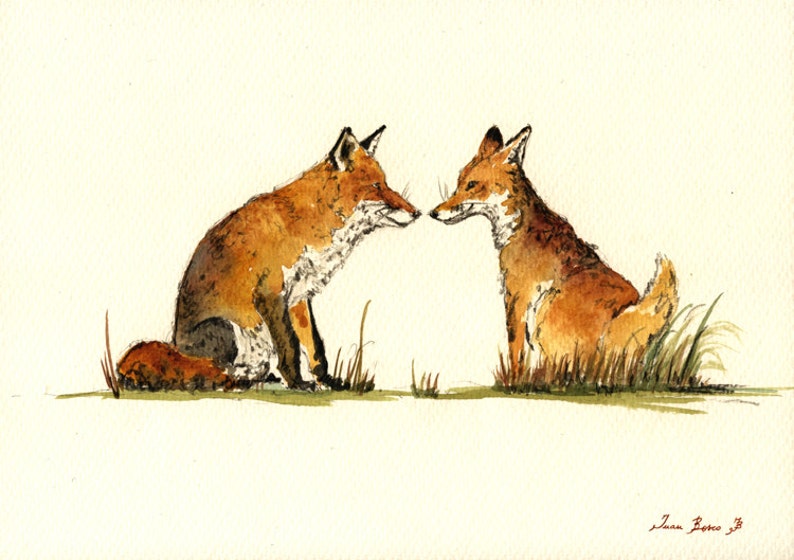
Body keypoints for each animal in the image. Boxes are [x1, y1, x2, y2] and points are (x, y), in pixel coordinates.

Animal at [117, 126, 419, 391]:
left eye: (387, 183)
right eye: (376, 186)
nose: (416, 212)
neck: (310, 221)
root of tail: (175, 345)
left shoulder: (298, 297)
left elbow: (314, 348)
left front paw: (327, 381)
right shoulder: (269, 294)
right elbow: (289, 347)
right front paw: (299, 384)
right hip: (227, 329)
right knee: (211, 372)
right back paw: (238, 382)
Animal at [430, 125, 678, 385]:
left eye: (472, 184)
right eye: (458, 183)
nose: (433, 212)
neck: (517, 226)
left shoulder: (517, 294)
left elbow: (514, 350)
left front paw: (514, 382)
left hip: (546, 311)